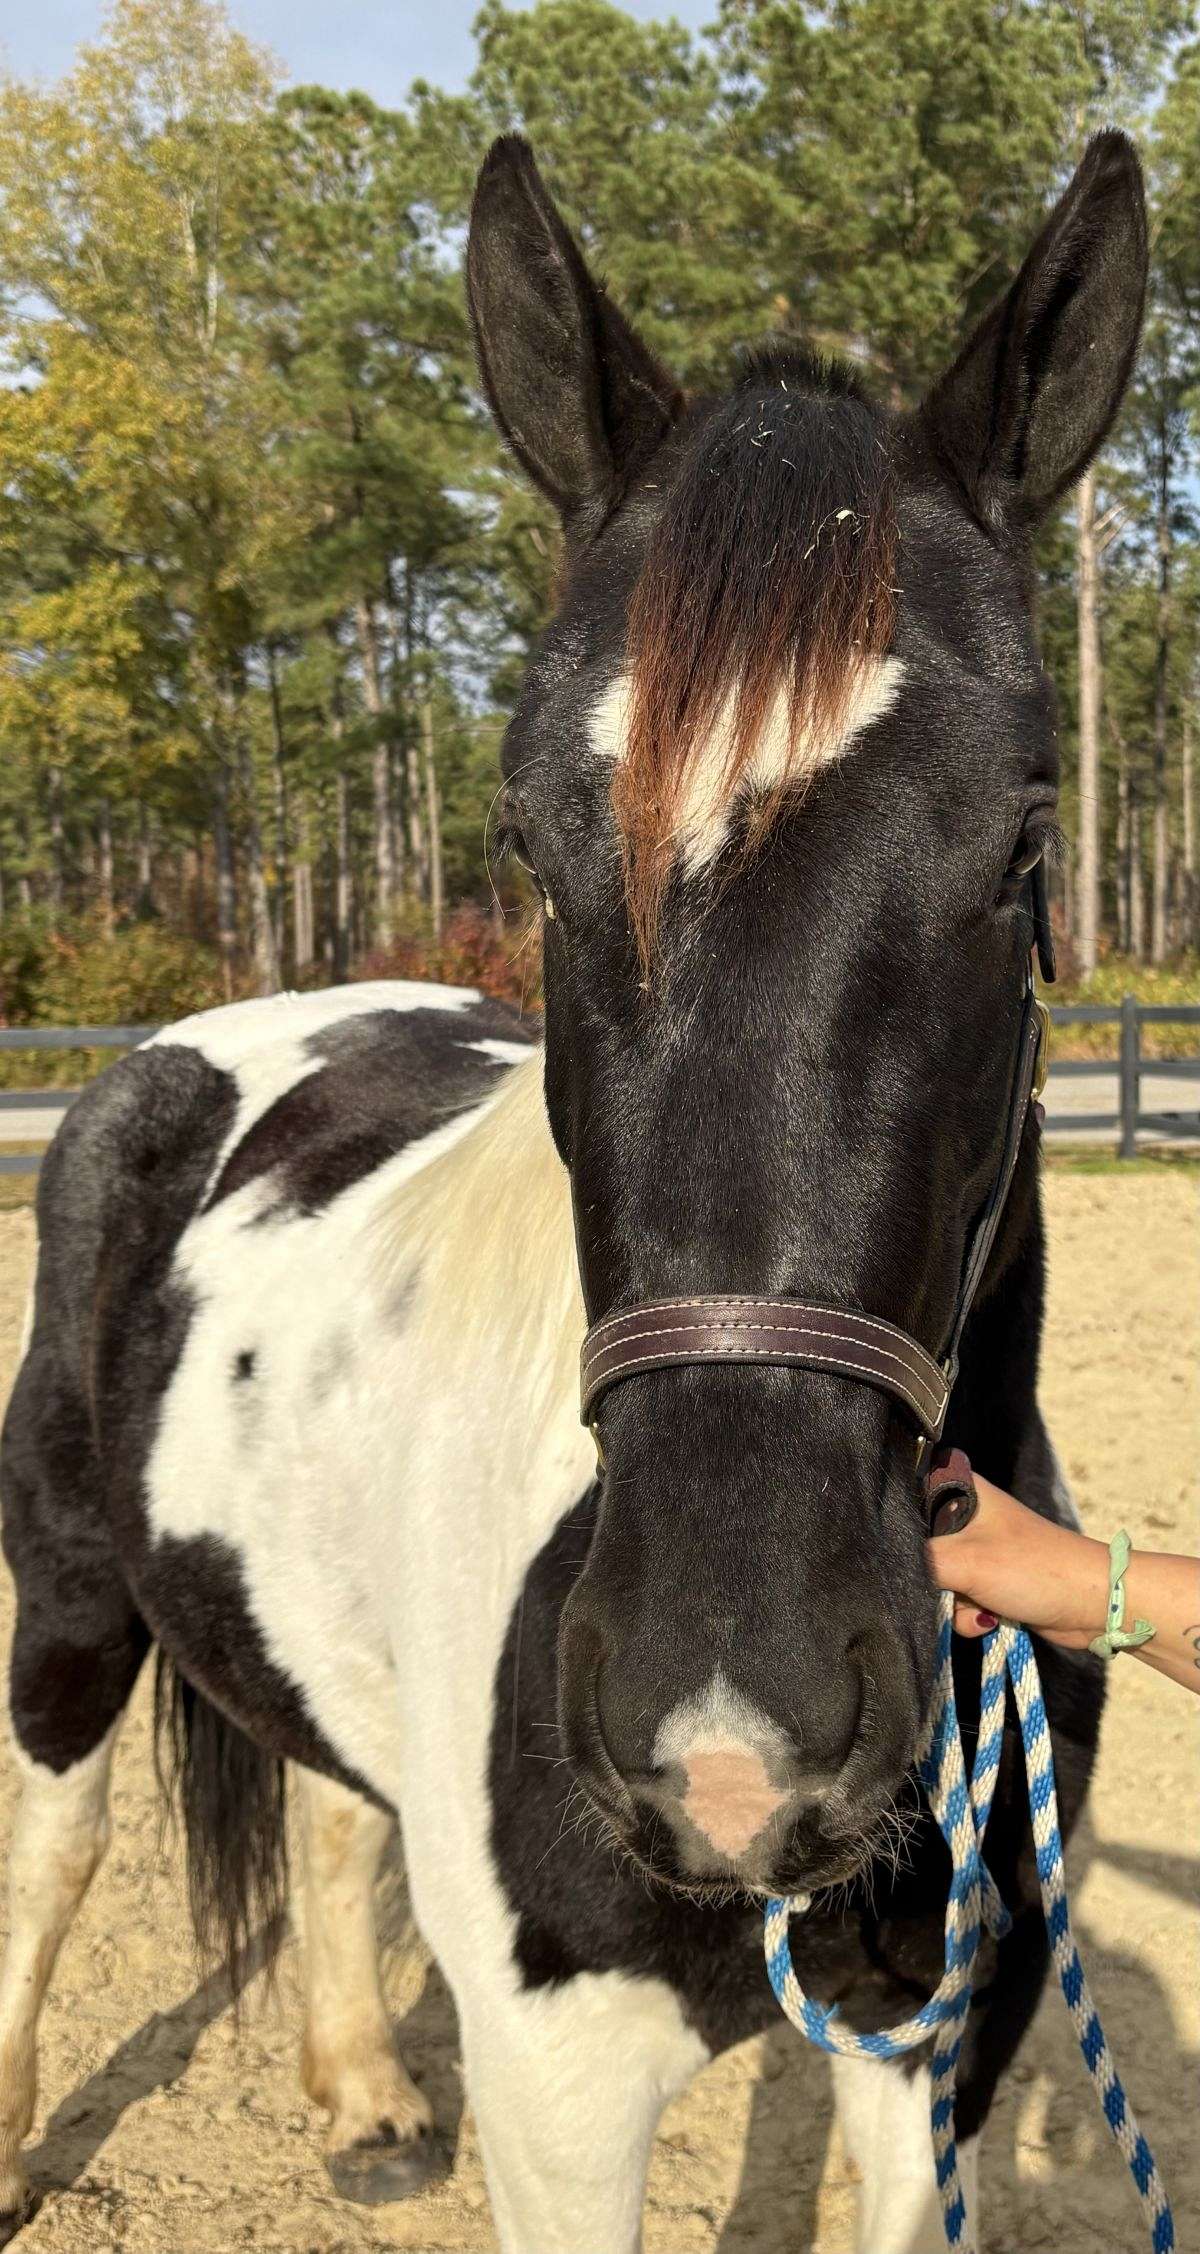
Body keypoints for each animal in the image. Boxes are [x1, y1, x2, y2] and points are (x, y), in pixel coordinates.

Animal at [0, 128, 1147, 2253]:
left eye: (1031, 840)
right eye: (531, 837)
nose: (734, 1722)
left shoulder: (934, 2049)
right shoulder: (560, 2094)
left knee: (325, 1797)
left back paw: (367, 2094)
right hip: (66, 1594)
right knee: (55, 1837)